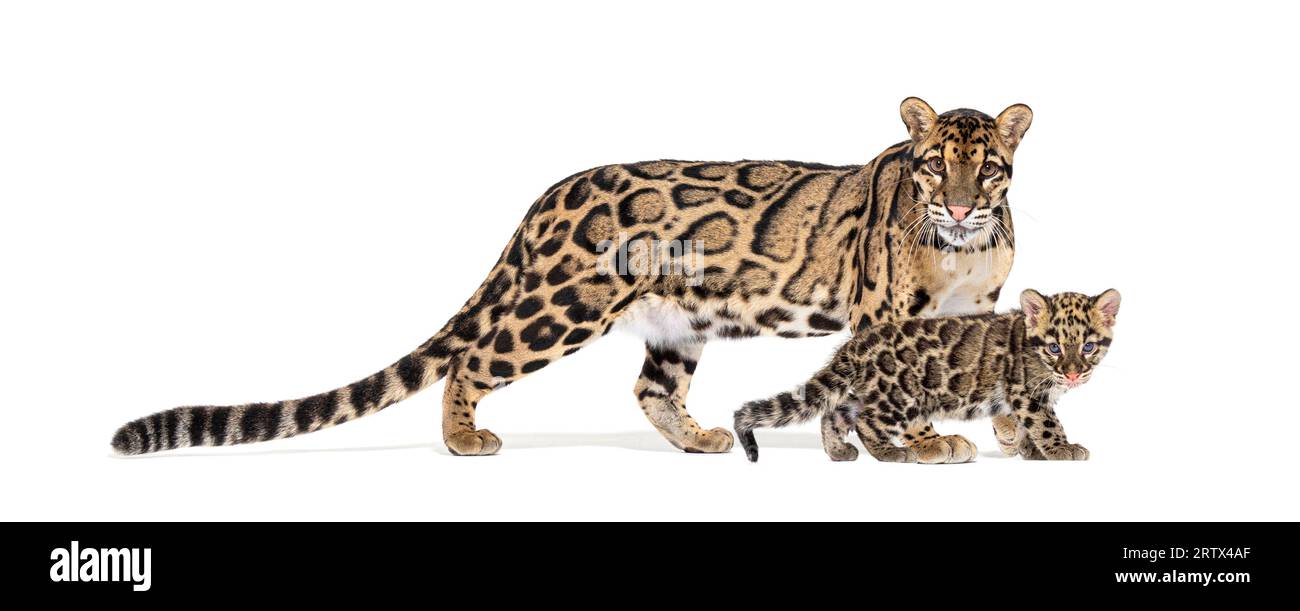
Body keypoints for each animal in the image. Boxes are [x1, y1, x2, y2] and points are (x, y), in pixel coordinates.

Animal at [110, 97, 1034, 457]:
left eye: (986, 167)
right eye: (930, 165)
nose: (957, 206)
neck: (962, 249)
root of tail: (552, 194)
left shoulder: (976, 308)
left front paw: (998, 435)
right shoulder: (886, 314)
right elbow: (892, 387)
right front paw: (921, 447)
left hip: (677, 321)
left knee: (651, 386)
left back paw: (697, 438)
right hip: (561, 304)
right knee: (470, 358)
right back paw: (464, 438)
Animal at [734, 289, 1121, 463]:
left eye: (1088, 347)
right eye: (1054, 347)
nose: (1073, 373)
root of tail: (856, 344)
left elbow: (1021, 424)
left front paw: (1029, 449)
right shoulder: (1027, 393)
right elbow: (1045, 423)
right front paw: (1061, 448)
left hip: (871, 392)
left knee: (835, 413)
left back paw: (839, 451)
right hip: (897, 396)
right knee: (867, 421)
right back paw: (892, 453)